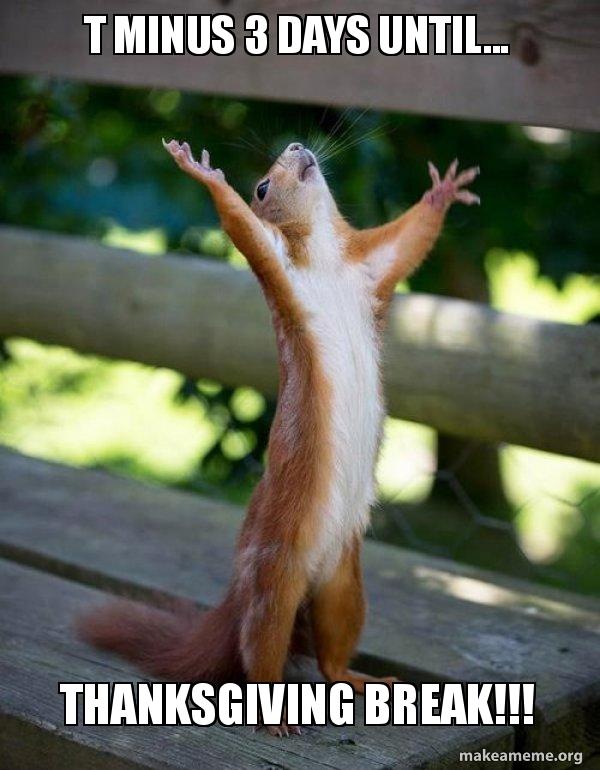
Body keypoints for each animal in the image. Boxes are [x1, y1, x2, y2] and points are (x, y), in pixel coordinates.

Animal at [79, 138, 479, 736]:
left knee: (332, 654)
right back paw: (276, 714)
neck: (327, 259)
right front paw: (204, 174)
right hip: (275, 578)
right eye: (262, 186)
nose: (296, 146)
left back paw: (358, 679)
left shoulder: (371, 267)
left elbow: (408, 241)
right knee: (260, 650)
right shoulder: (278, 266)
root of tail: (241, 591)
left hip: (344, 585)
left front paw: (443, 191)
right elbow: (242, 227)